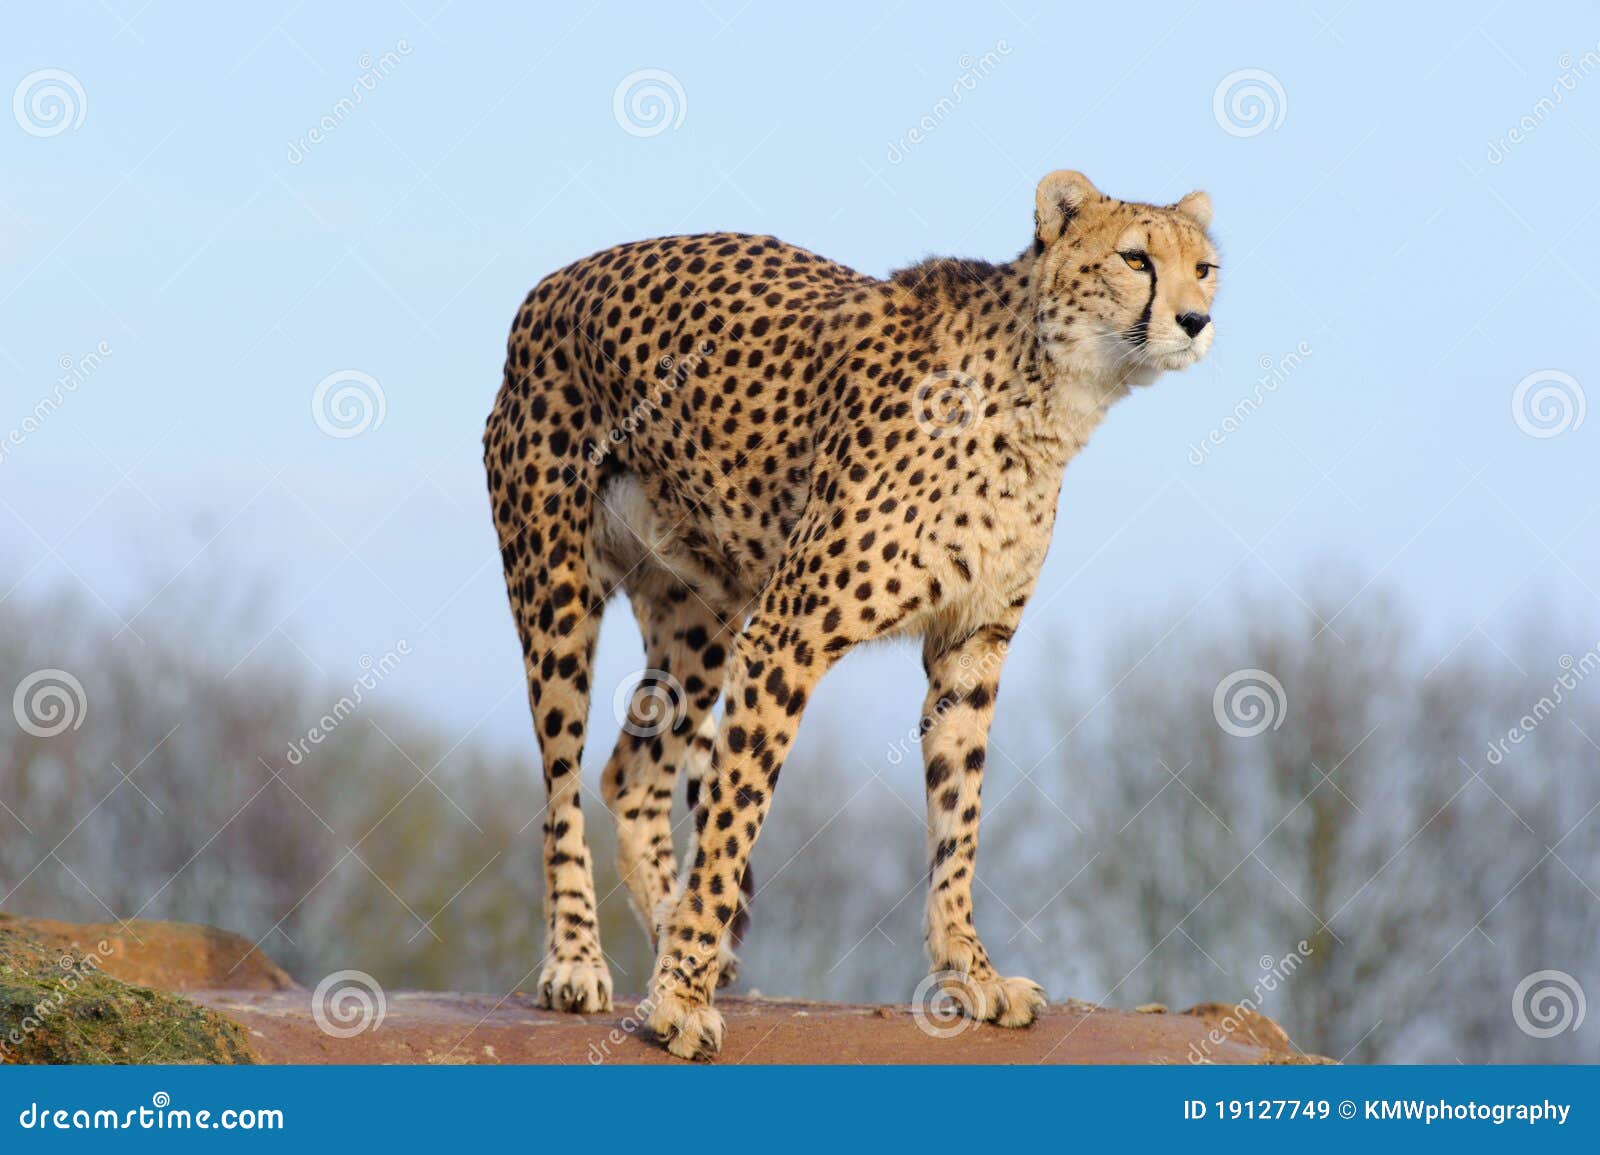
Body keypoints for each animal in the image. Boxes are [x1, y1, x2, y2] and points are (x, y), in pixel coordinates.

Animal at [482, 170, 1219, 1060]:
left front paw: (968, 970)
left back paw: (668, 930)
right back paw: (579, 960)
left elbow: (958, 818)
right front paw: (681, 998)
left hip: (699, 616)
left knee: (632, 771)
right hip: (556, 589)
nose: (1196, 320)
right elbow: (733, 820)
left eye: (1205, 268)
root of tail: (554, 284)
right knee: (562, 782)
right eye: (1136, 258)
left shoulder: (972, 645)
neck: (1046, 395)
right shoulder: (788, 634)